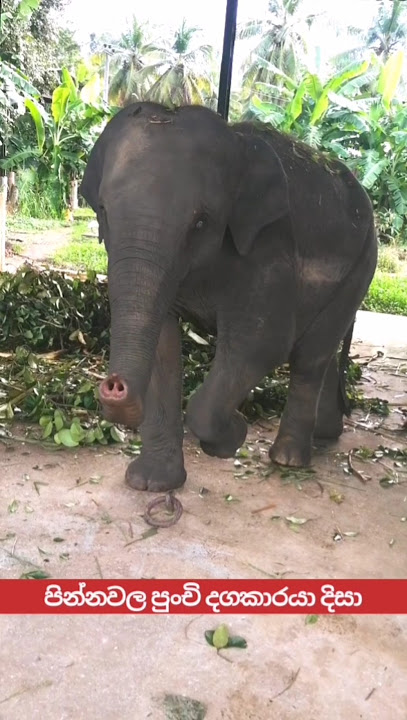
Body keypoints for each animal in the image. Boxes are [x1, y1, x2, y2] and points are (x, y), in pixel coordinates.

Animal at [80, 101, 377, 493]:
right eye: (102, 211)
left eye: (200, 223)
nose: (114, 386)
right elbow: (163, 348)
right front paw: (151, 484)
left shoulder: (269, 246)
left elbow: (260, 342)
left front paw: (231, 438)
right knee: (322, 354)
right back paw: (325, 436)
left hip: (363, 263)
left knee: (310, 356)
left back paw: (288, 459)